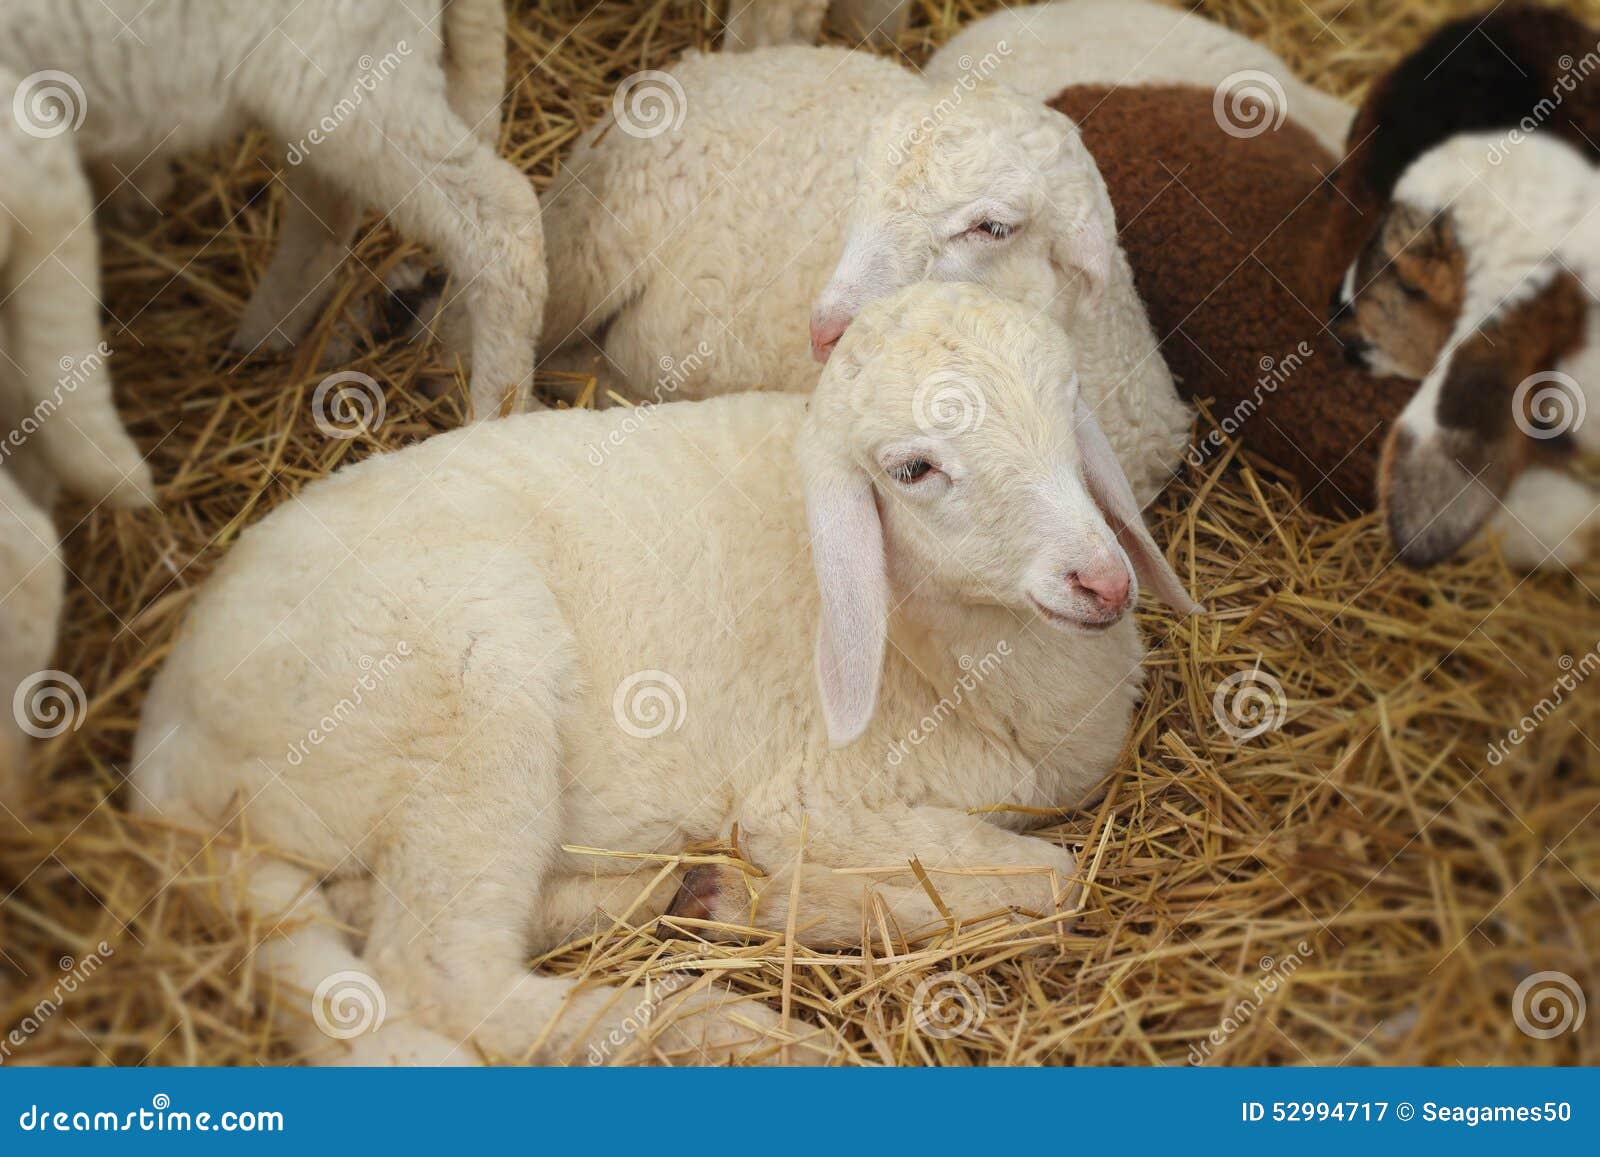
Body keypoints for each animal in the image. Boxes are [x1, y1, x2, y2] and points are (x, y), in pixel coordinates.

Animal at [131, 281, 1200, 1065]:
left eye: (1067, 407)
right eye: (913, 471)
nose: (1102, 580)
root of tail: (168, 757)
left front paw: (737, 898)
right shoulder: (810, 797)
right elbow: (1056, 875)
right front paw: (773, 904)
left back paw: (663, 897)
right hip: (467, 689)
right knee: (438, 973)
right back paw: (725, 1026)